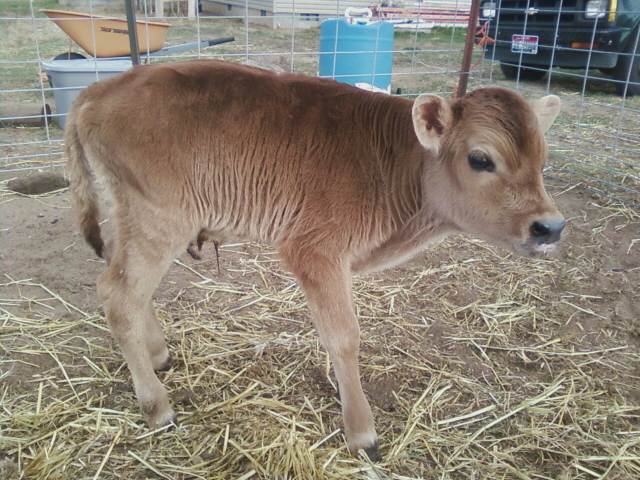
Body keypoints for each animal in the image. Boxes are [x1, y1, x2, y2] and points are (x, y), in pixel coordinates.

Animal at [65, 60, 564, 460]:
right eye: (481, 159)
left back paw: (158, 354)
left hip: (136, 219)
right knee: (118, 296)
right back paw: (157, 407)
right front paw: (361, 433)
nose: (550, 227)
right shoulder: (316, 251)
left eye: (542, 157)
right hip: (158, 220)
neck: (392, 164)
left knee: (127, 285)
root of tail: (100, 90)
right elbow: (344, 337)